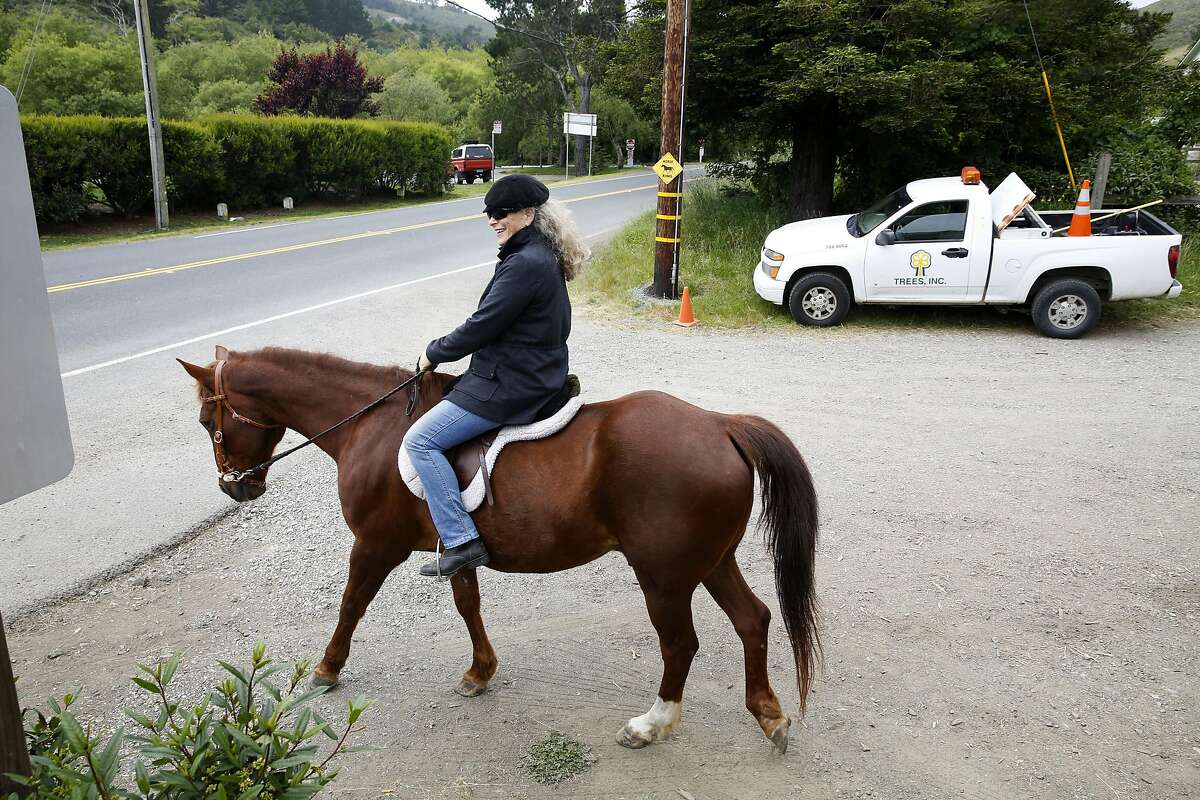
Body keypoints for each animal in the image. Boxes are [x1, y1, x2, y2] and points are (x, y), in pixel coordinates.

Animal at [178, 345, 820, 752]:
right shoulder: (455, 544)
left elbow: (351, 603)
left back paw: (651, 724)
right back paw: (770, 715)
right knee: (753, 620)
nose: (234, 487)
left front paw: (327, 669)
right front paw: (480, 671)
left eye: (208, 417)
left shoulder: (376, 545)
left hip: (662, 575)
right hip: (710, 562)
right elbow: (468, 604)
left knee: (681, 644)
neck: (373, 426)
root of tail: (720, 424)